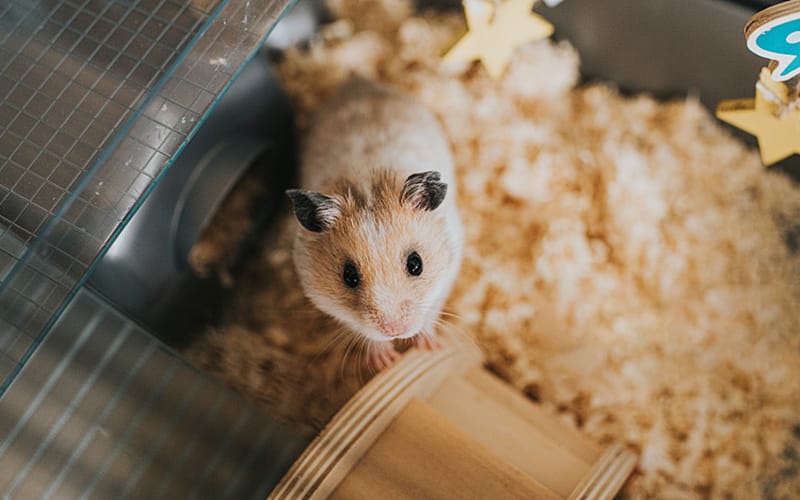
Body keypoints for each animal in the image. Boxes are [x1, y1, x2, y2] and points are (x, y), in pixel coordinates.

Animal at [286, 78, 463, 370]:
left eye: (416, 264)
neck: (367, 188)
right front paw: (386, 362)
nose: (394, 331)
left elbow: (430, 313)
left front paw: (429, 347)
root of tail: (357, 81)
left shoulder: (449, 271)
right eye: (349, 277)